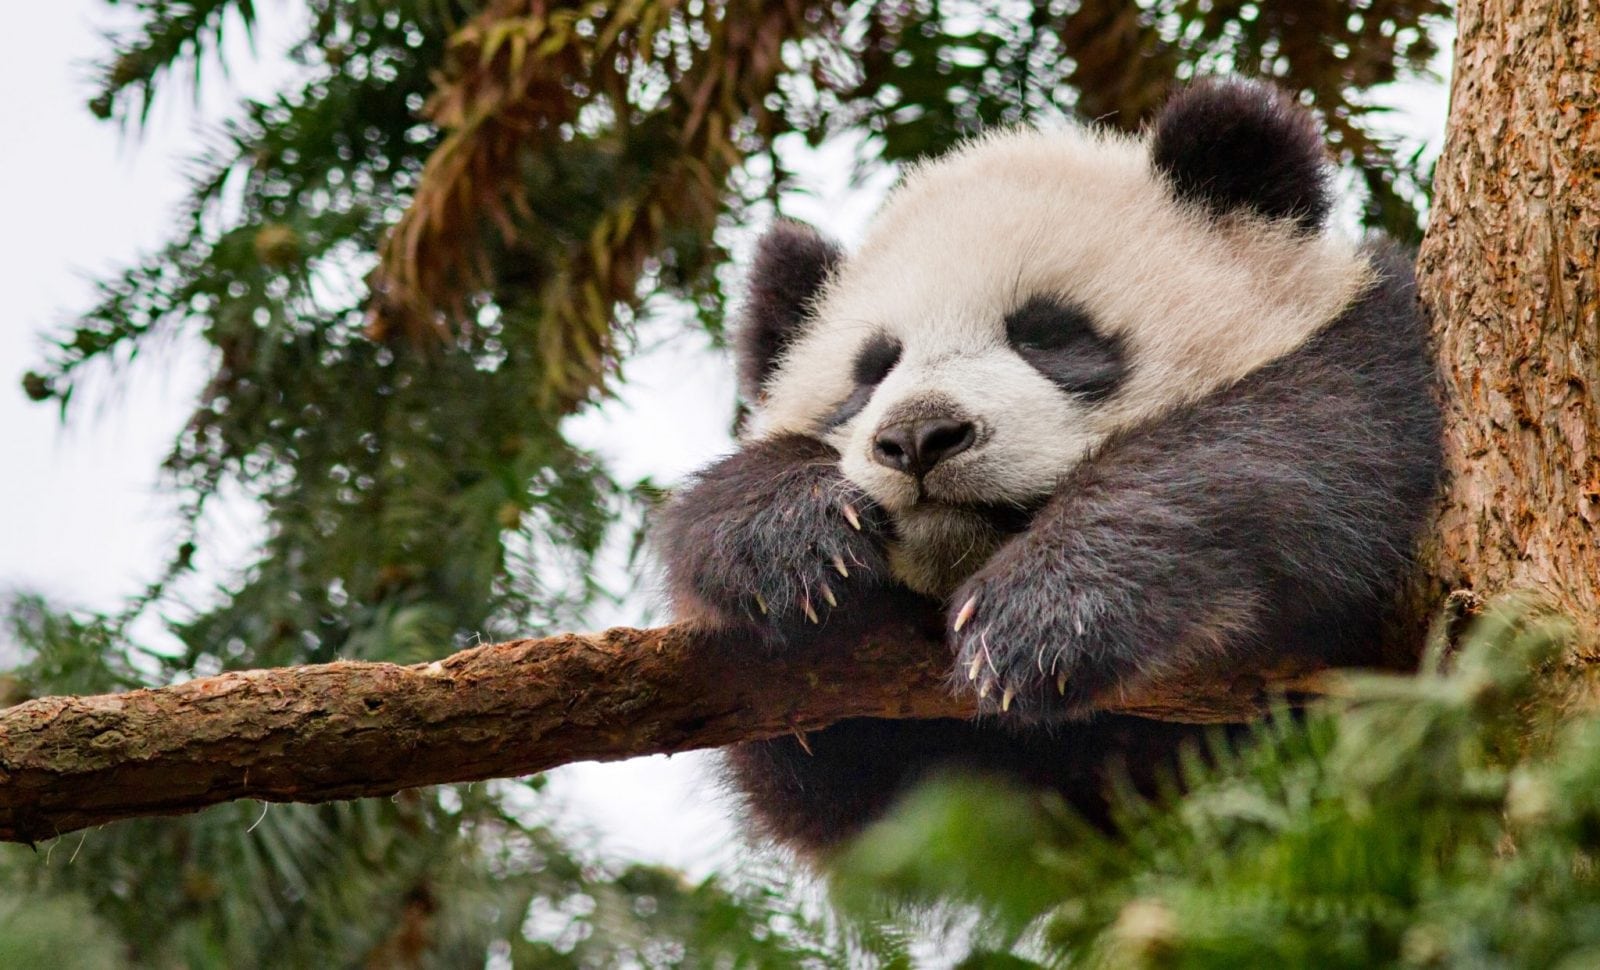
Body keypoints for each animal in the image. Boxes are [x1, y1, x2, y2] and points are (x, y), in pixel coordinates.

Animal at [654, 78, 1442, 858]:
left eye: (1049, 335)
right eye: (872, 371)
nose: (919, 437)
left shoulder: (1383, 355)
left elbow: (1312, 441)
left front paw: (1045, 615)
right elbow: (830, 768)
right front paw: (784, 531)